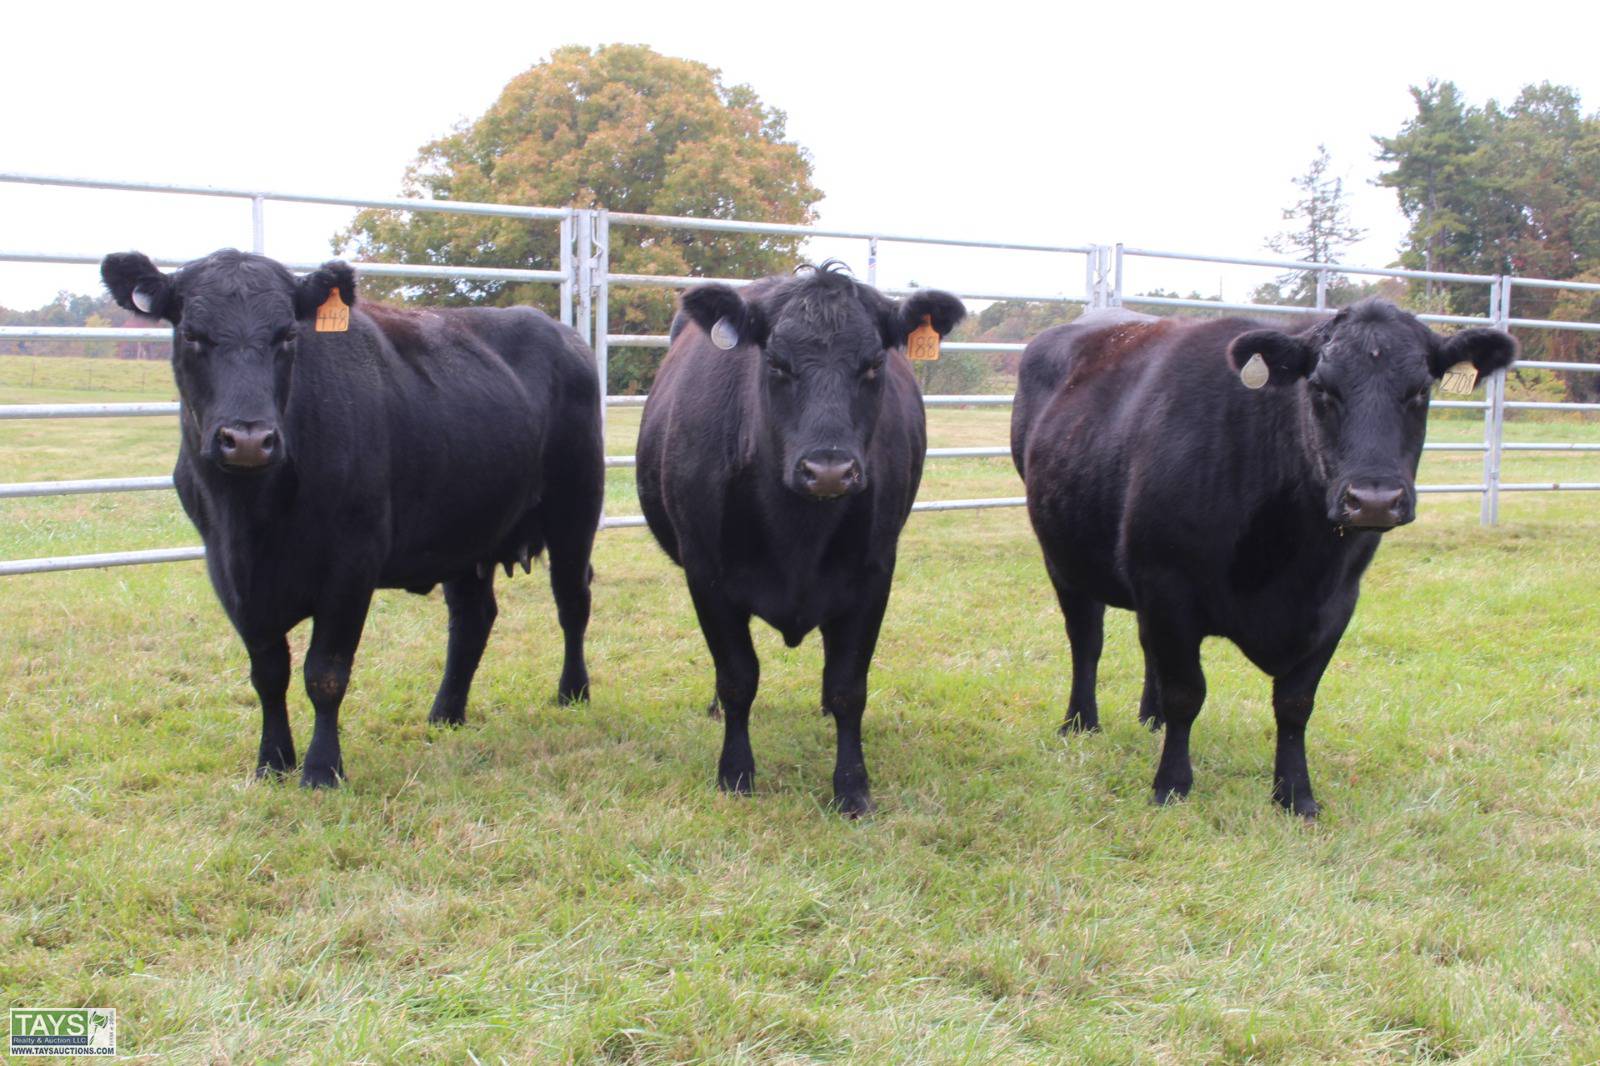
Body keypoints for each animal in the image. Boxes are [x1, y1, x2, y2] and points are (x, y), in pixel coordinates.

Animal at [100, 249, 604, 787]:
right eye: (192, 334)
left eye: (288, 335)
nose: (250, 439)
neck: (253, 519)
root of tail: (561, 333)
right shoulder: (231, 576)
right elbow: (268, 673)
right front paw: (272, 761)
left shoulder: (350, 566)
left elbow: (325, 673)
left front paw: (322, 769)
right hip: (466, 533)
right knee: (472, 619)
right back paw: (445, 713)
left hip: (575, 513)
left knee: (572, 603)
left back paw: (572, 692)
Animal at [636, 262, 965, 816]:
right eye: (775, 363)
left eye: (874, 364)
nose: (828, 470)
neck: (798, 537)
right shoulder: (706, 574)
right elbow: (738, 677)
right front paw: (735, 774)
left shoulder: (874, 573)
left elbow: (848, 686)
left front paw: (852, 787)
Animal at [1011, 299, 1517, 816]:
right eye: (1320, 388)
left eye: (1419, 390)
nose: (1374, 500)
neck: (1292, 563)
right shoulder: (1168, 585)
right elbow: (1186, 693)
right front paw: (1171, 785)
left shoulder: (1337, 602)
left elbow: (1295, 703)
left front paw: (1295, 794)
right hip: (1063, 557)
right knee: (1087, 641)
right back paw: (1080, 722)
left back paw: (1149, 718)